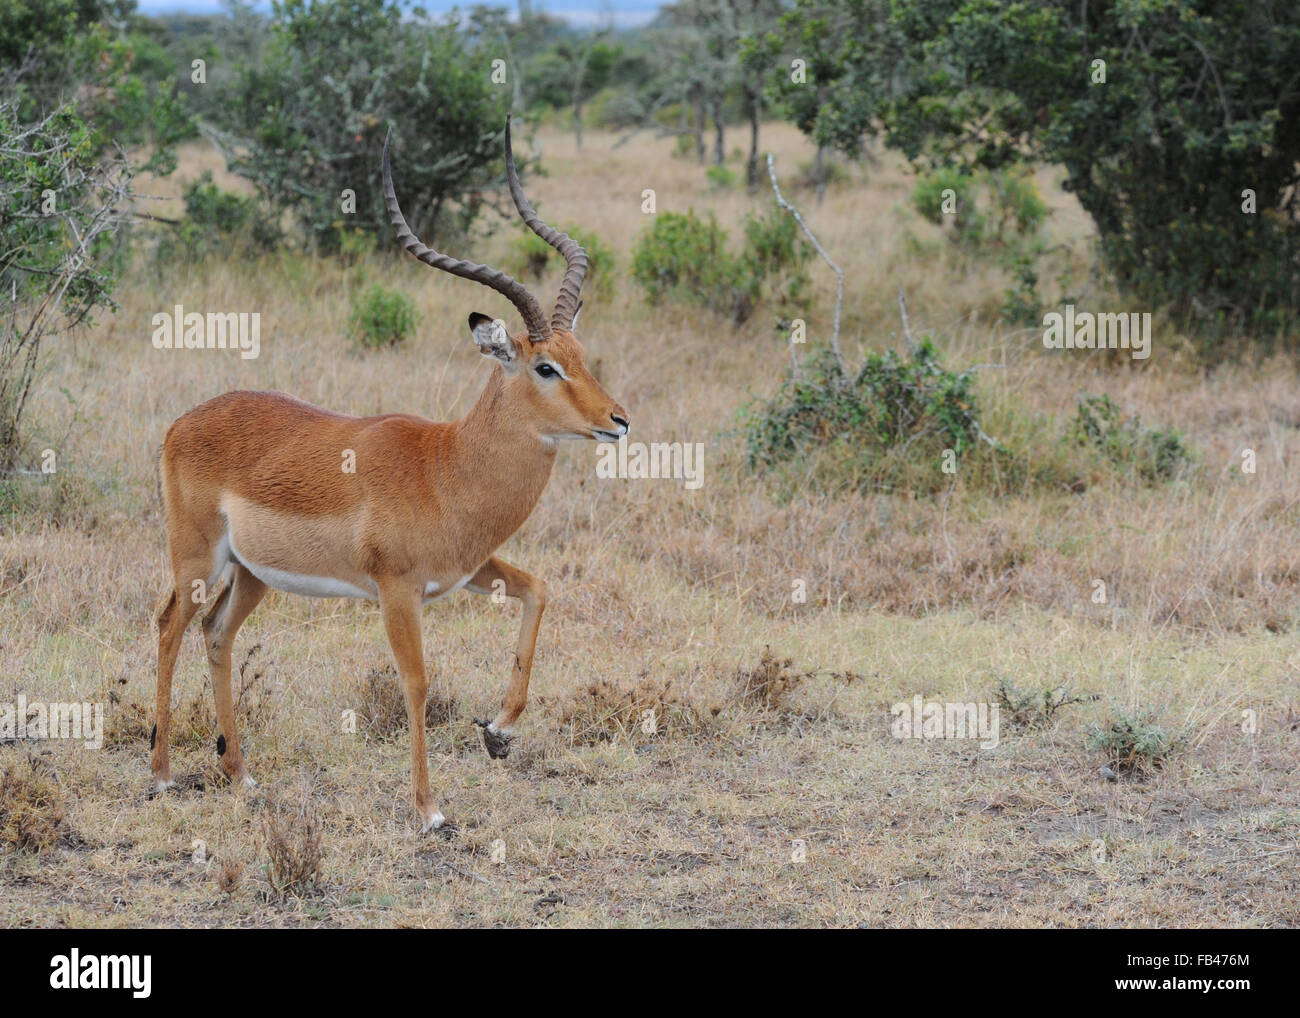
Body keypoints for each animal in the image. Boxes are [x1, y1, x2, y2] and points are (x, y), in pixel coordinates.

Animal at [151, 117, 629, 833]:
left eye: (582, 355)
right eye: (546, 367)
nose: (618, 420)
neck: (446, 464)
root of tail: (183, 422)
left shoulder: (467, 567)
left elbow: (540, 590)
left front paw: (498, 731)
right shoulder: (397, 590)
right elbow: (418, 681)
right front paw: (430, 810)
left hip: (252, 574)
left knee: (215, 636)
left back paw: (241, 775)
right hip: (199, 560)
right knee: (168, 626)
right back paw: (160, 777)